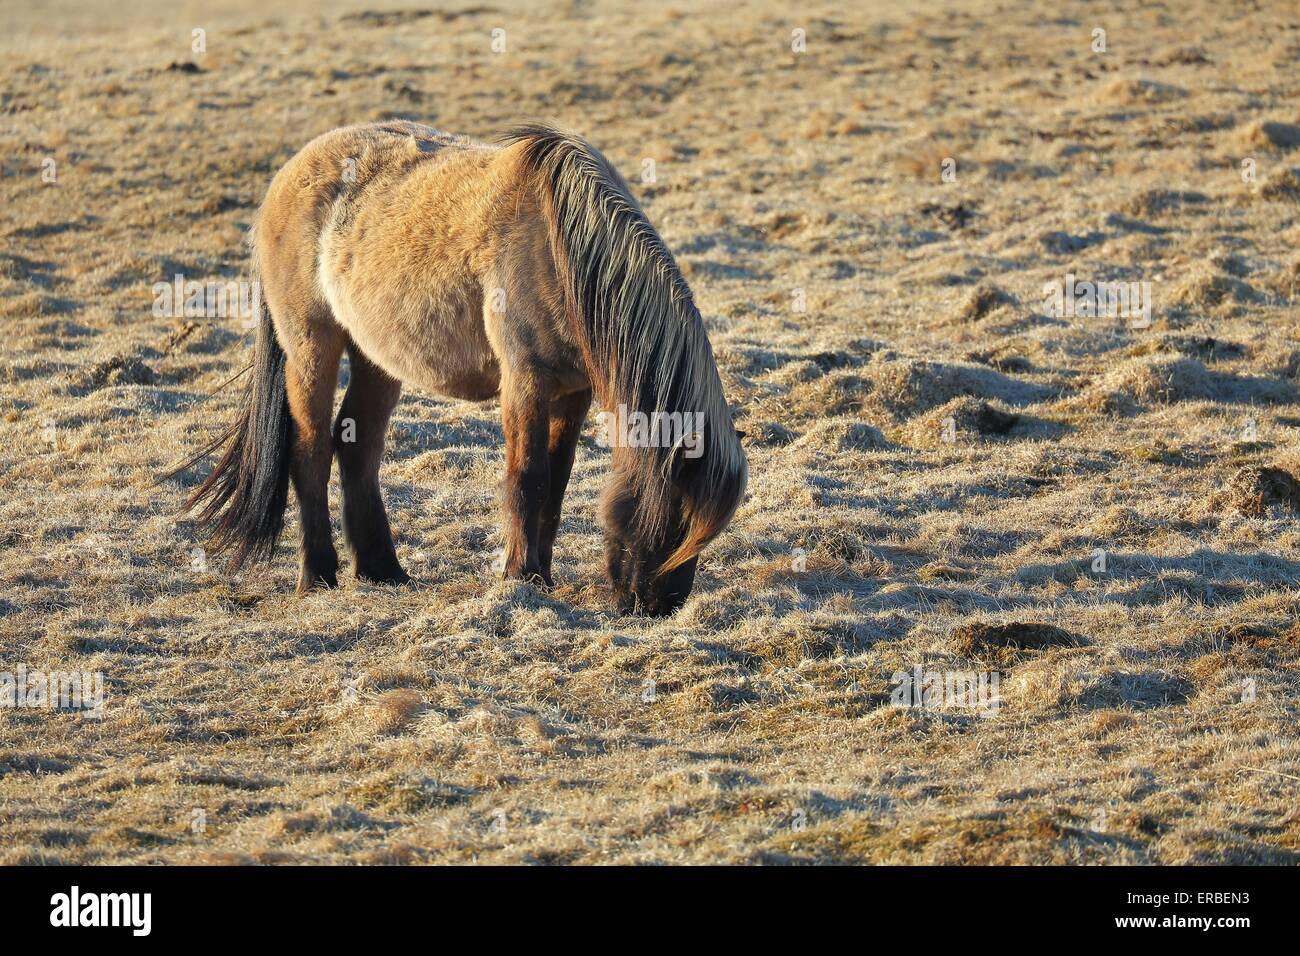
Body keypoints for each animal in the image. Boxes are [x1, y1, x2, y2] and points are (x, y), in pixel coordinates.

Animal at [178, 121, 747, 616]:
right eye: (676, 511)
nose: (660, 604)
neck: (561, 248)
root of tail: (289, 175)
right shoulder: (525, 382)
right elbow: (527, 479)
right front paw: (521, 578)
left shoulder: (573, 393)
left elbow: (557, 482)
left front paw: (541, 574)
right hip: (310, 346)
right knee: (310, 449)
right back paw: (317, 575)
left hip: (376, 359)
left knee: (357, 447)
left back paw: (382, 570)